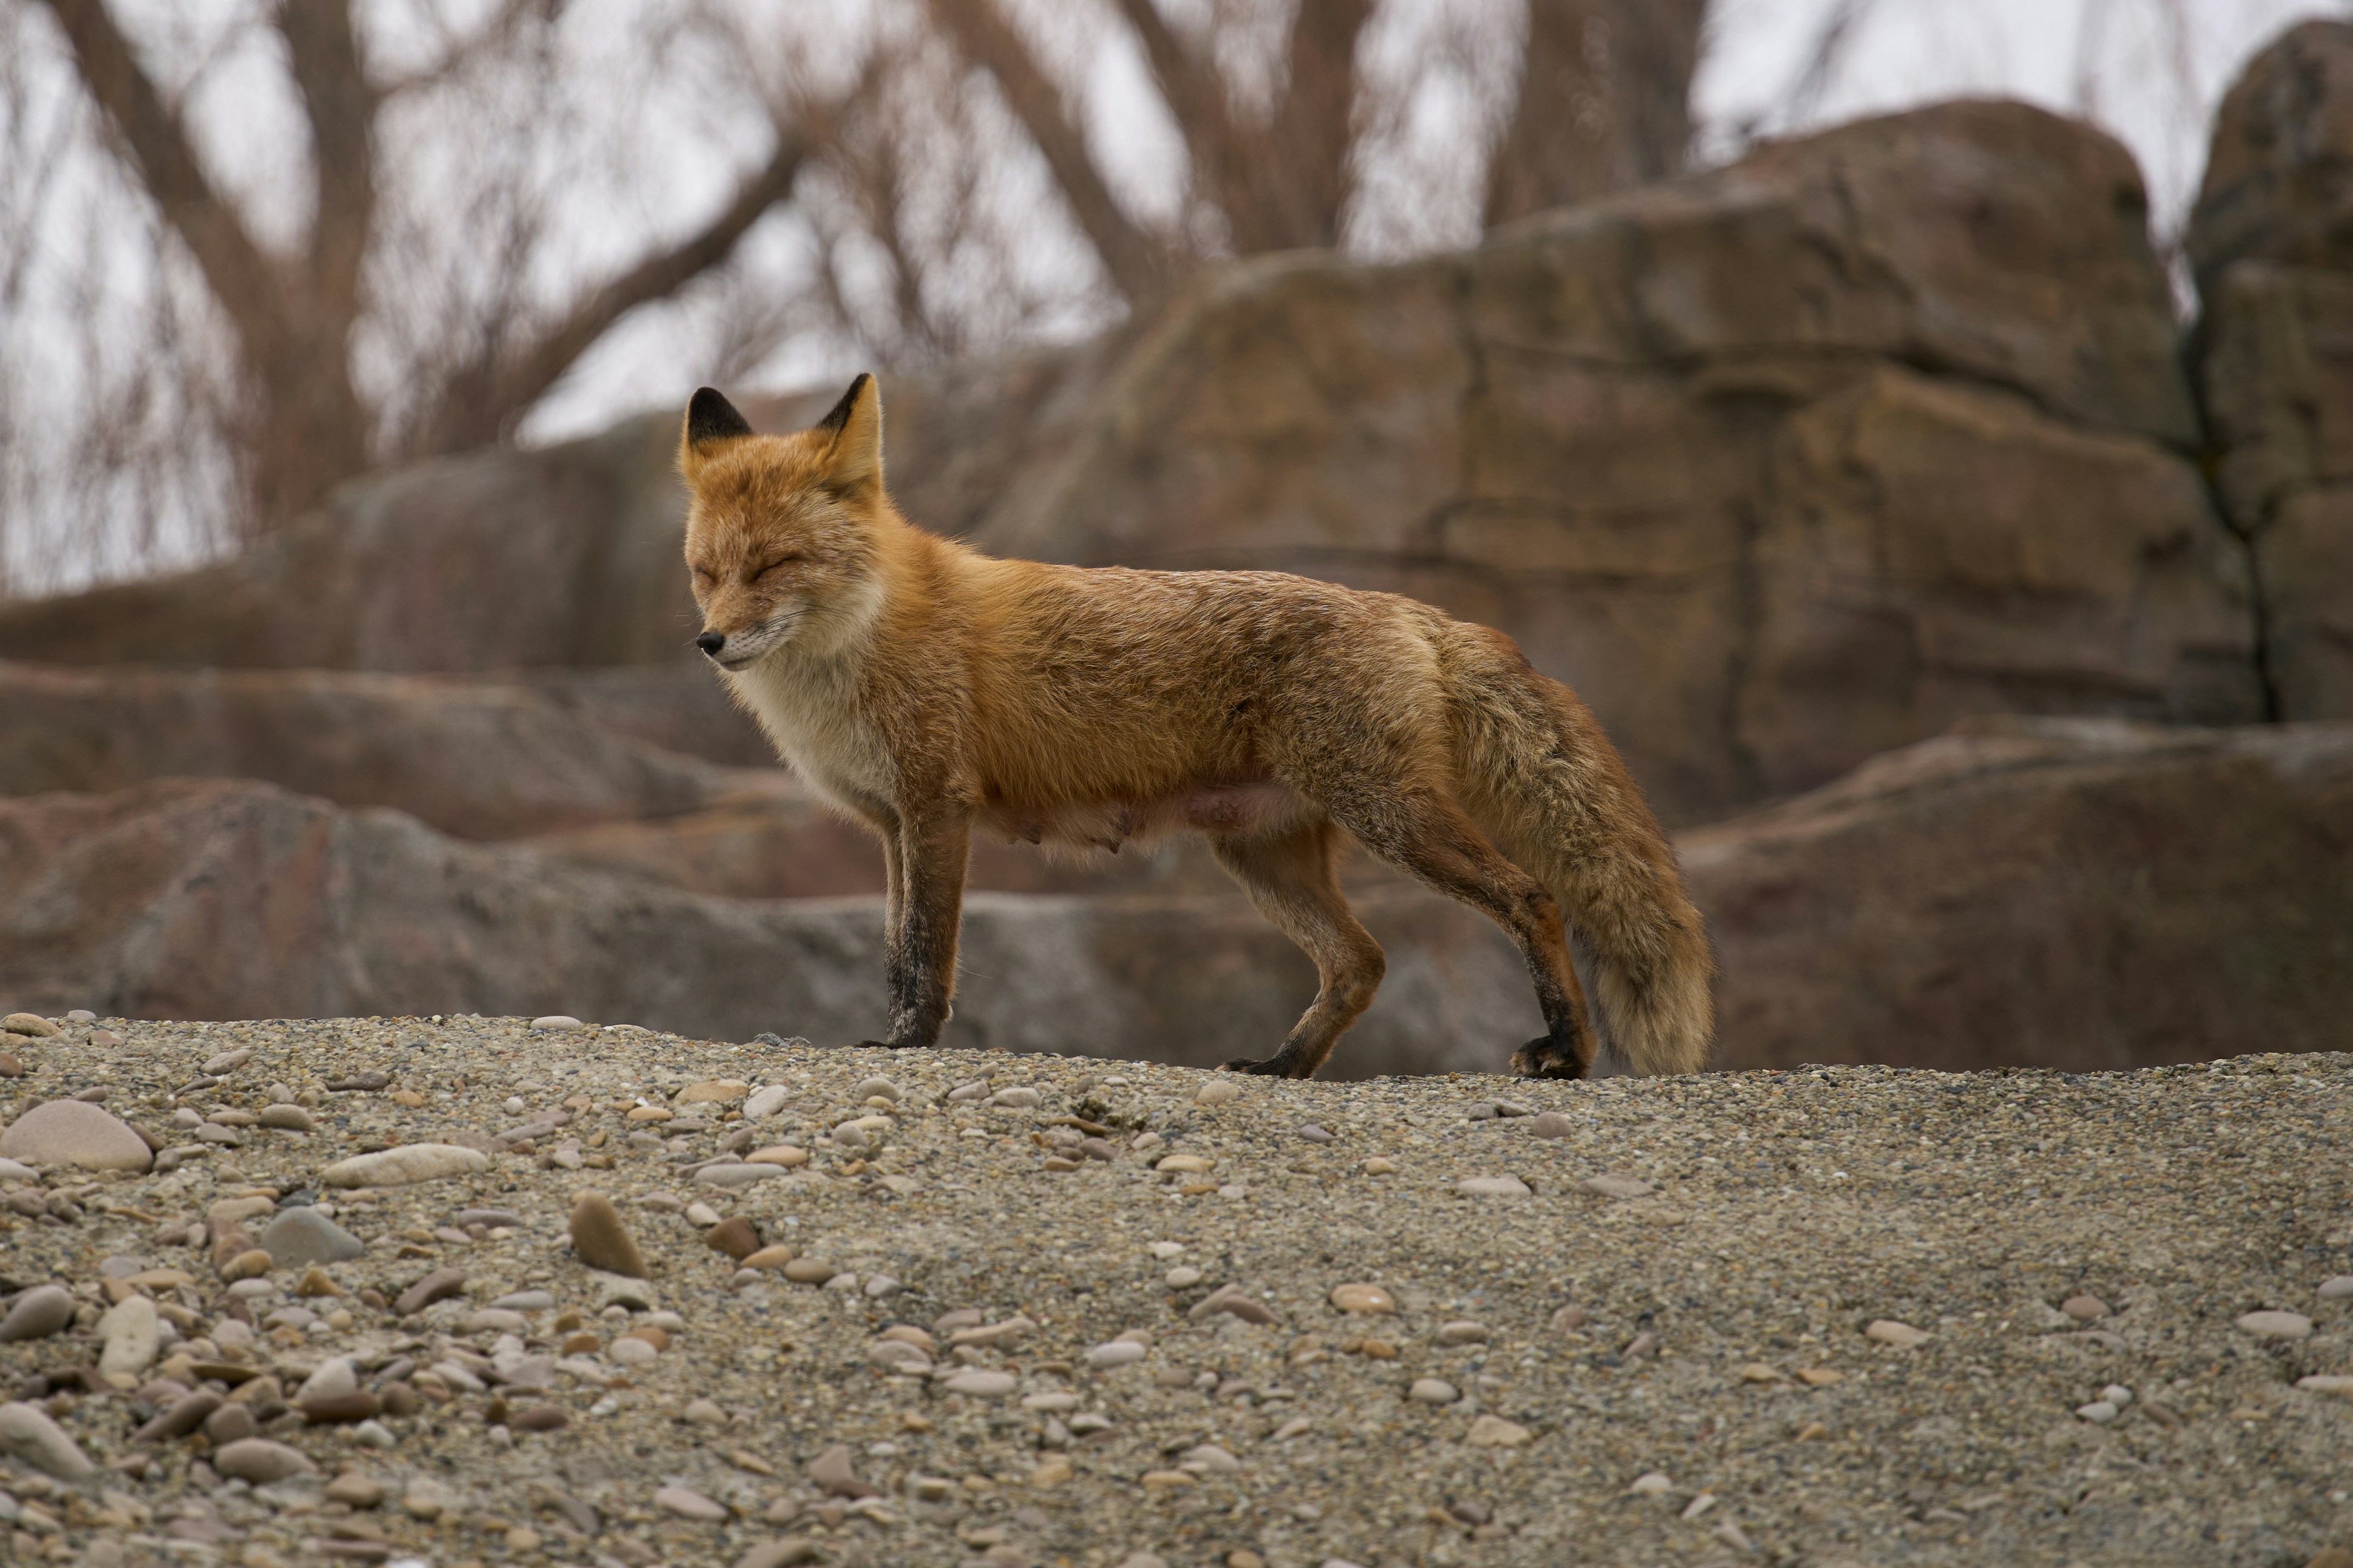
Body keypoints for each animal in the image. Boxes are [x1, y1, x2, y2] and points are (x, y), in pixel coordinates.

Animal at [678, 374, 1714, 1080]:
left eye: (774, 565)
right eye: (706, 571)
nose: (710, 642)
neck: (862, 641)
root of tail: (1412, 611)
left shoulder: (937, 807)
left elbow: (927, 953)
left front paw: (910, 1045)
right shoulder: (892, 823)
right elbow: (896, 950)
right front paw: (893, 1033)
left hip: (1390, 819)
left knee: (1530, 897)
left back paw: (1567, 1051)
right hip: (1261, 855)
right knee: (1362, 961)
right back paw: (1283, 1066)